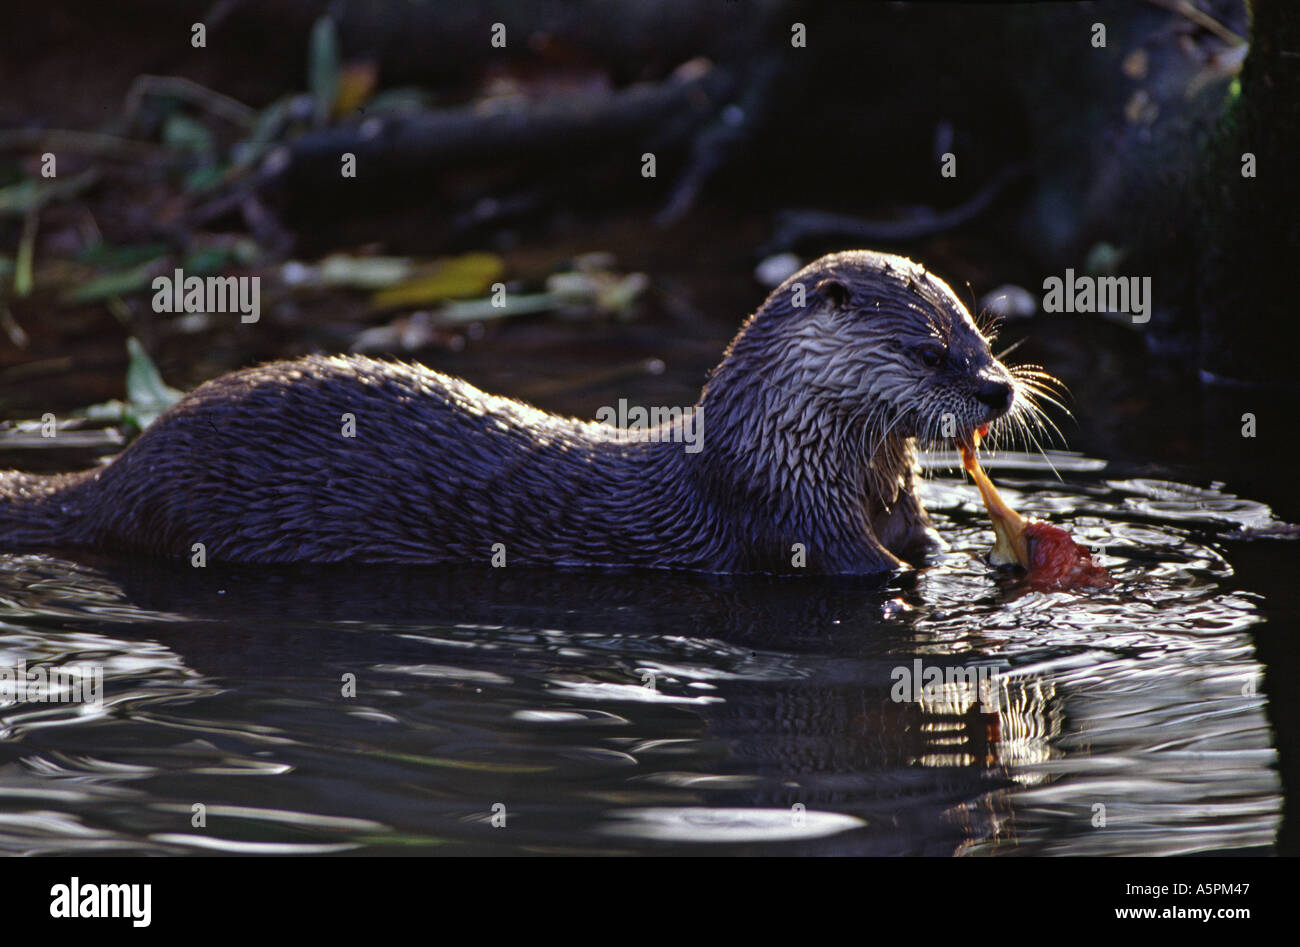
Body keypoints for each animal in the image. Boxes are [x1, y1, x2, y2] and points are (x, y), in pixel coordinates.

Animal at [0, 251, 1044, 574]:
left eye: (981, 331)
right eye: (929, 351)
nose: (996, 389)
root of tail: (119, 470)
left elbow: (923, 550)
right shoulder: (796, 519)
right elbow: (872, 575)